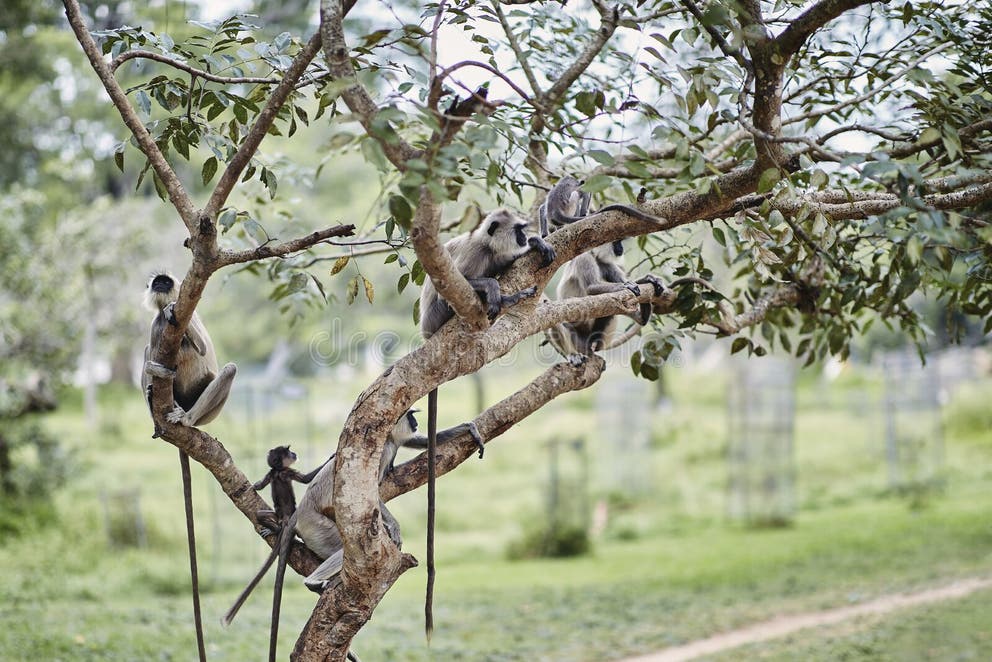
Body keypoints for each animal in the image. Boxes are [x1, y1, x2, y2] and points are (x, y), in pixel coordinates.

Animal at [222, 446, 328, 662]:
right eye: (289, 452)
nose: (295, 454)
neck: (279, 472)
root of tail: (285, 519)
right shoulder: (286, 472)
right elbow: (306, 479)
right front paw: (333, 456)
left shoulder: (272, 473)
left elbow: (259, 485)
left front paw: (253, 486)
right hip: (290, 517)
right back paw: (284, 534)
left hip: (276, 515)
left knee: (259, 515)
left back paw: (274, 529)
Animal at [418, 207, 553, 638]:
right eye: (518, 229)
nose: (527, 237)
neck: (491, 249)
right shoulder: (474, 255)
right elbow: (456, 281)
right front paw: (495, 287)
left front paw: (540, 244)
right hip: (439, 319)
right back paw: (500, 296)